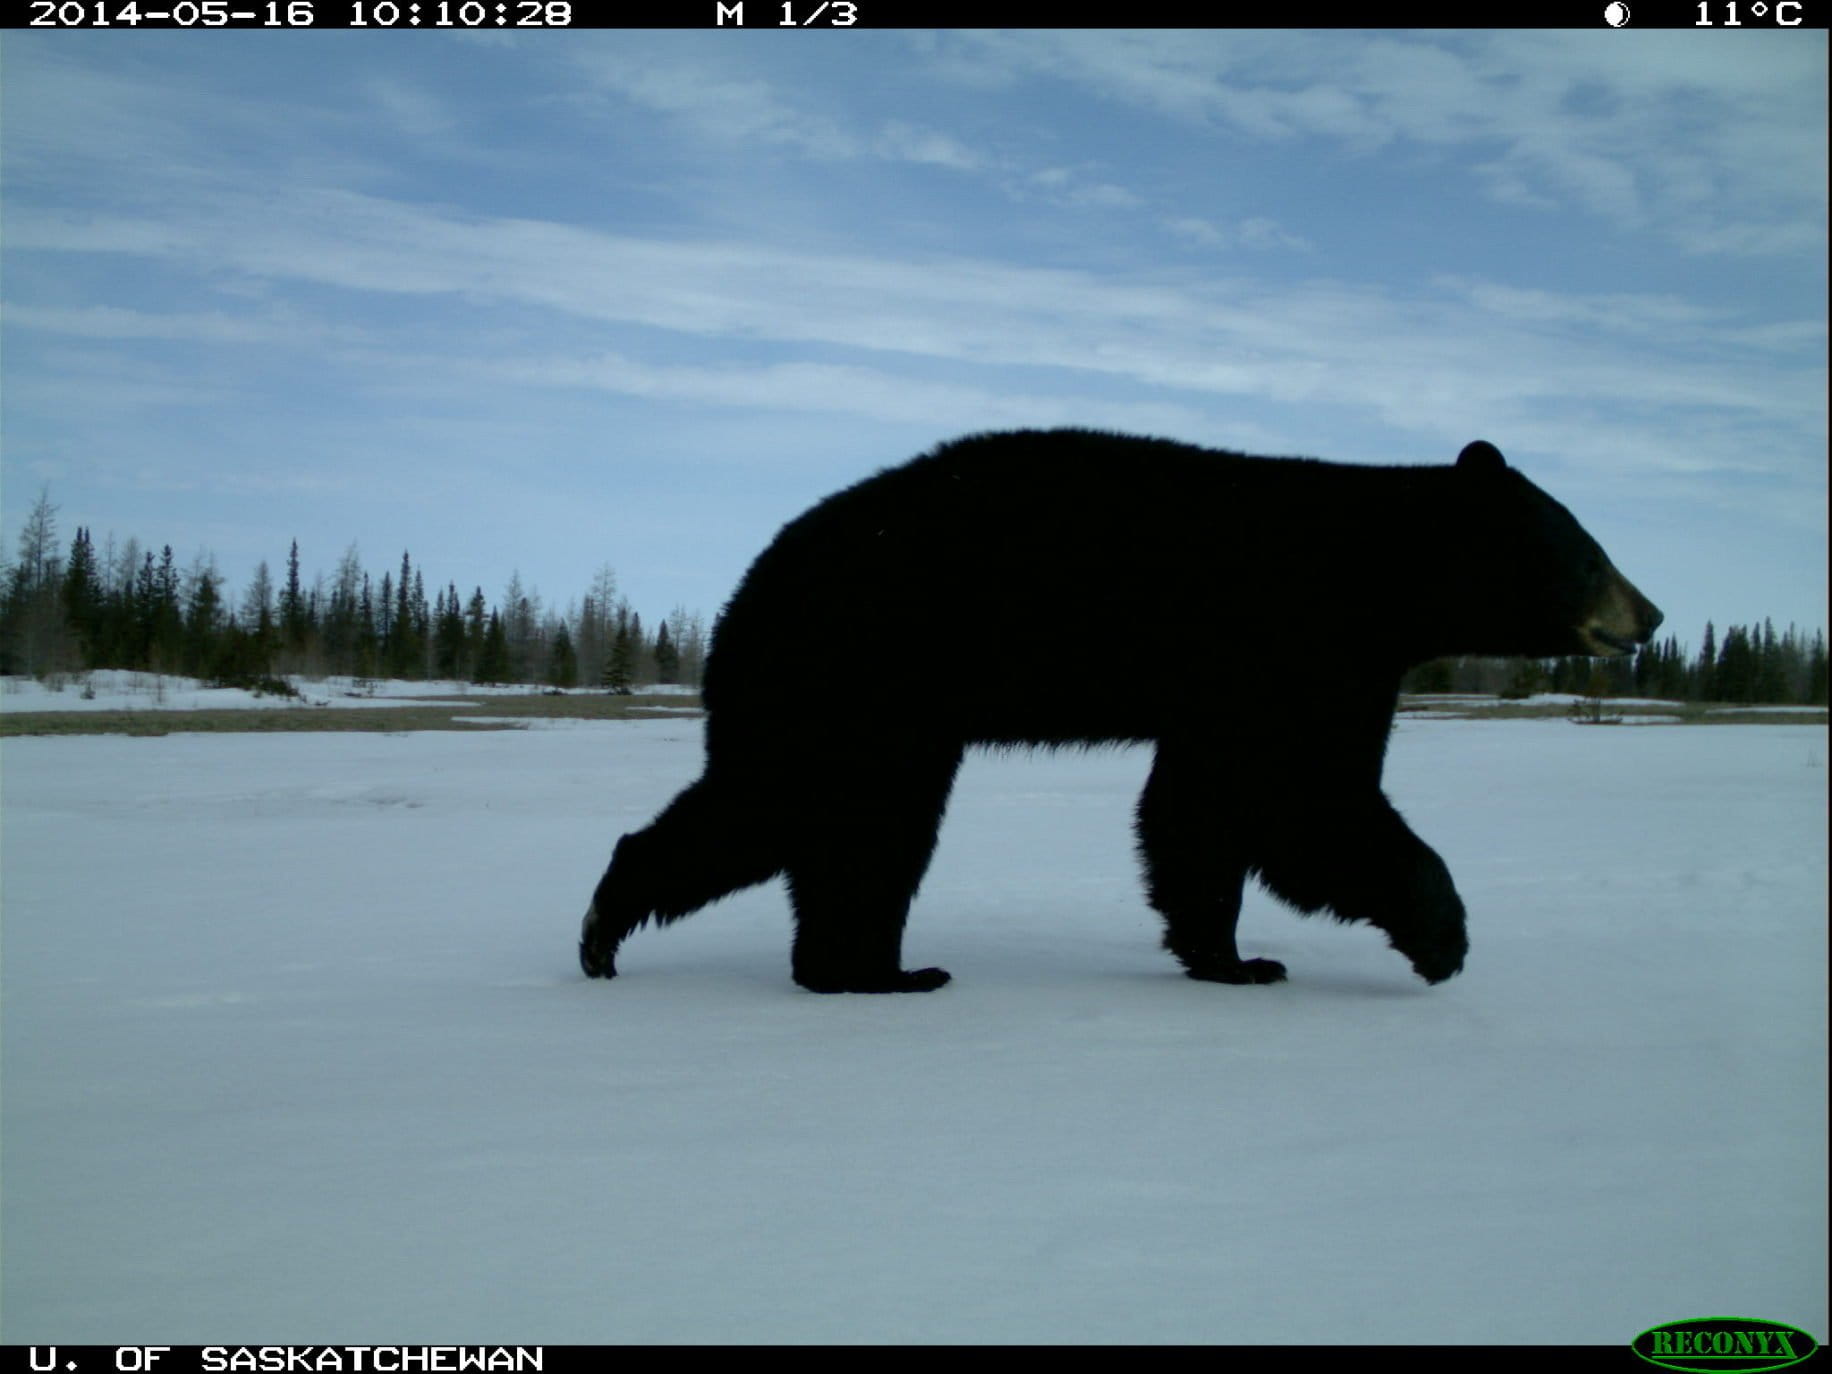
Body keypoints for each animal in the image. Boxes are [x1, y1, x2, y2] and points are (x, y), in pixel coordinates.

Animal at [579, 429, 1662, 993]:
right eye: (1587, 550)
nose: (1649, 613)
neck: (1375, 578)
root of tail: (748, 586)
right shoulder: (1297, 648)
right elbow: (1308, 801)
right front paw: (1444, 936)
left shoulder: (1247, 685)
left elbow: (1203, 812)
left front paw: (1231, 958)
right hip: (860, 676)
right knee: (835, 818)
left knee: (791, 816)